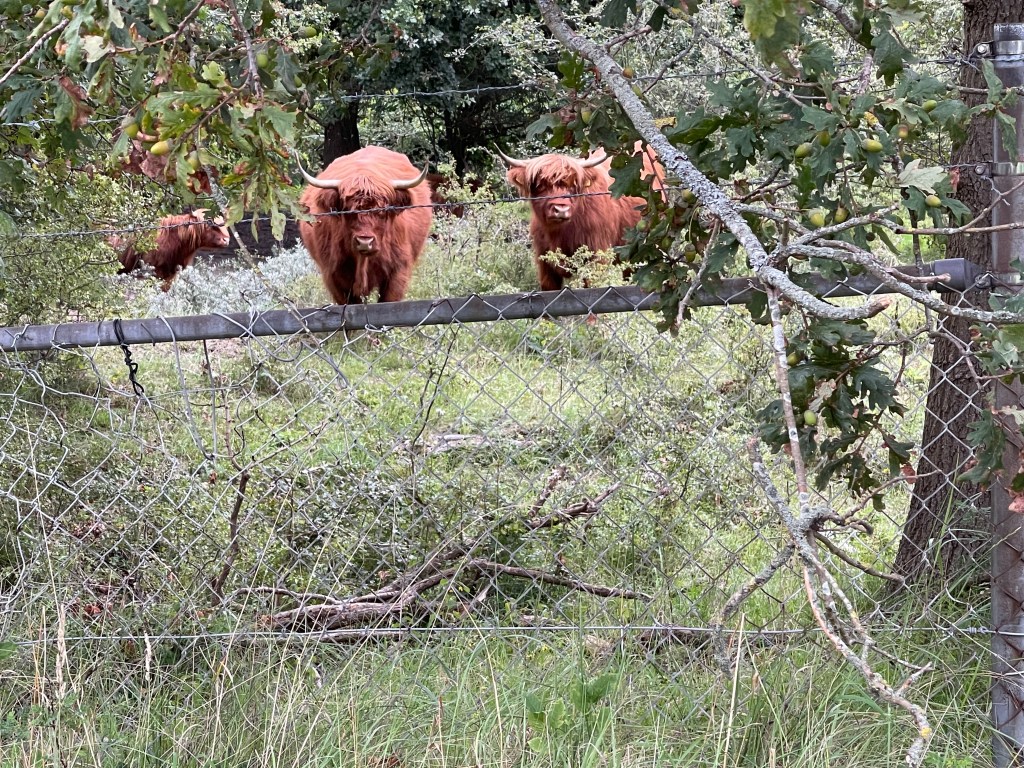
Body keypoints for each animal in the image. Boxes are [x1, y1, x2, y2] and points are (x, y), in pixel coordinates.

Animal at [499, 142, 666, 291]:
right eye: (541, 185)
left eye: (573, 185)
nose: (560, 209)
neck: (559, 233)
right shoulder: (544, 264)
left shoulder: (597, 254)